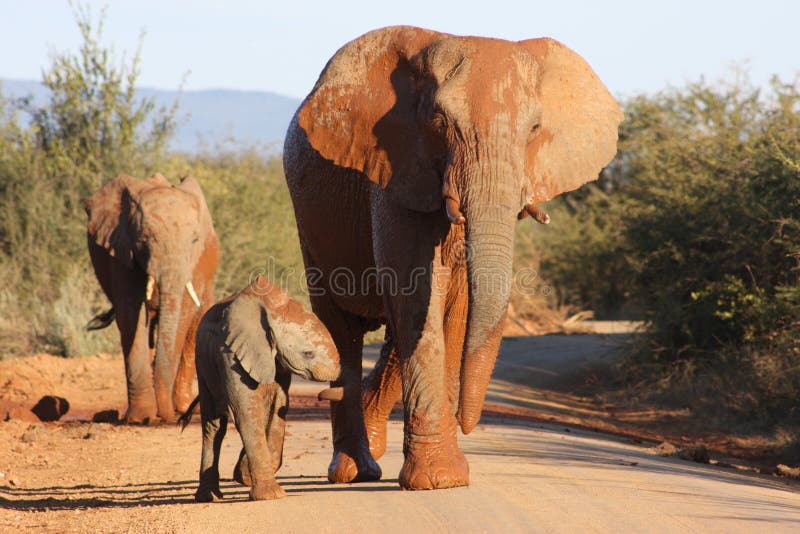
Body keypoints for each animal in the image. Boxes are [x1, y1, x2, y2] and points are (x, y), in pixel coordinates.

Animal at [85, 173, 219, 423]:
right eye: (145, 239)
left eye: (194, 241)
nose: (167, 418)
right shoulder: (121, 248)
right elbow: (130, 313)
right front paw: (141, 418)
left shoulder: (194, 264)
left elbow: (183, 313)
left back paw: (183, 406)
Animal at [189, 275, 341, 502]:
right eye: (308, 354)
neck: (270, 311)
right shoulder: (230, 353)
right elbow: (247, 412)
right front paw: (272, 495)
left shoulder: (276, 360)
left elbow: (275, 405)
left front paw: (244, 476)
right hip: (202, 362)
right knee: (214, 424)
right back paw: (209, 497)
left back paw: (212, 495)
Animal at [283, 26, 623, 490]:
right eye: (440, 122)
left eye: (535, 127)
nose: (469, 422)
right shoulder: (394, 168)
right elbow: (414, 296)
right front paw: (439, 479)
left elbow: (456, 306)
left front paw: (450, 474)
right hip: (310, 222)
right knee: (342, 329)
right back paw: (354, 469)